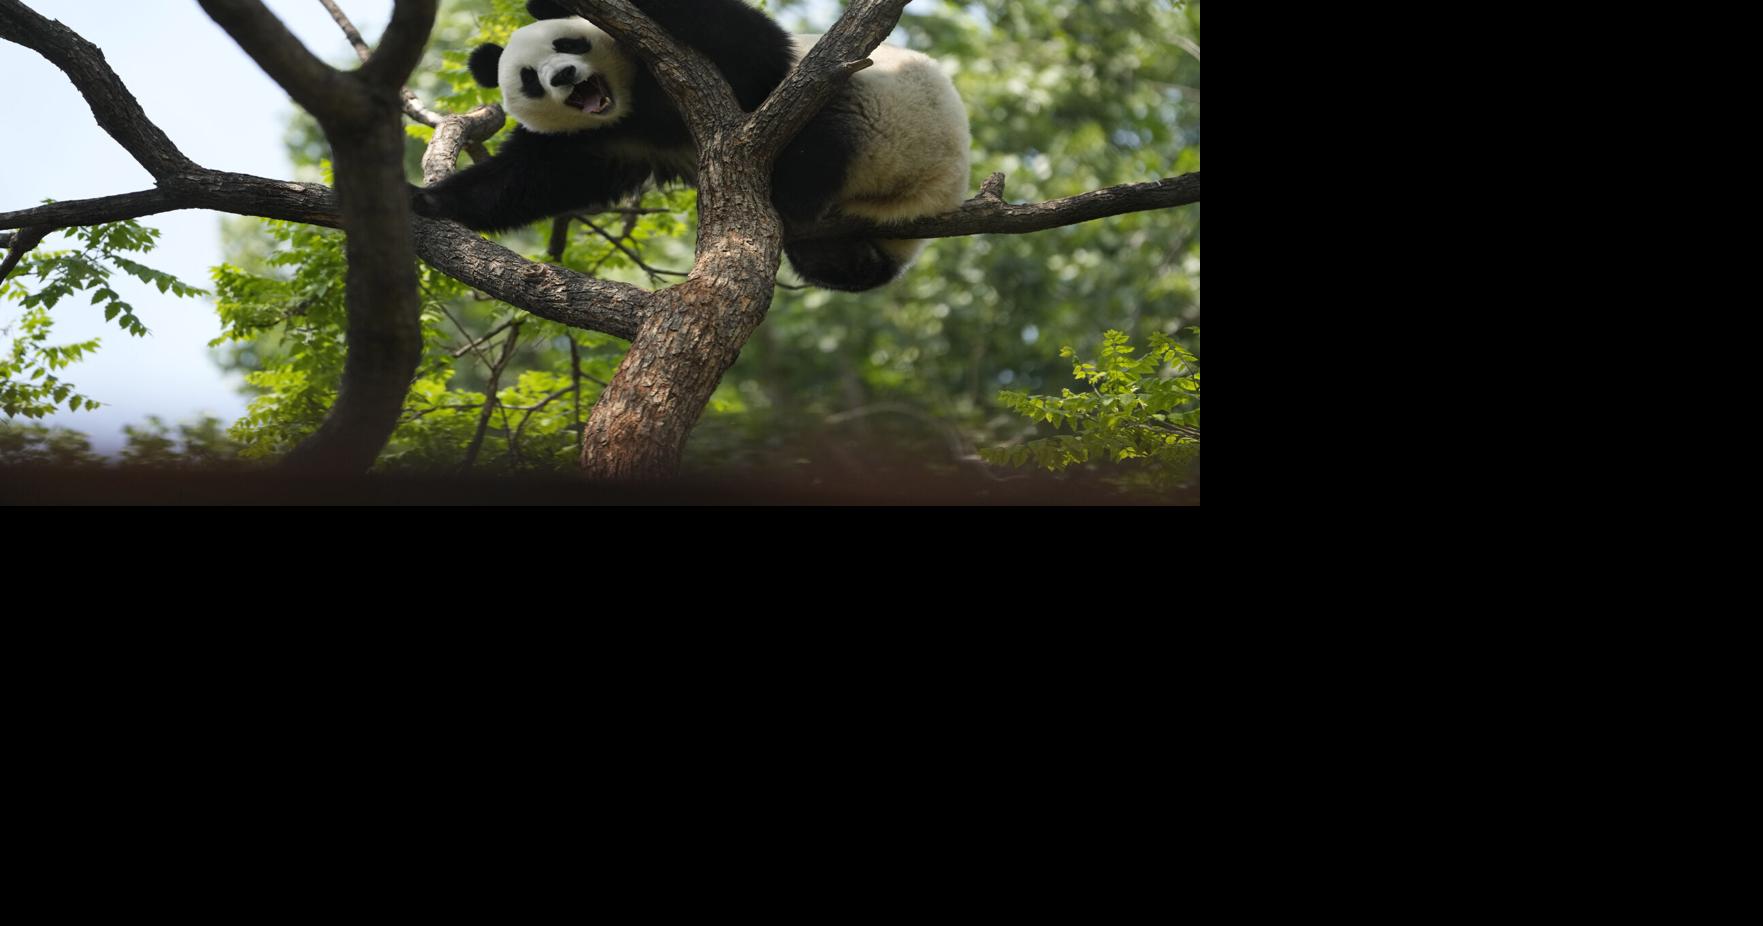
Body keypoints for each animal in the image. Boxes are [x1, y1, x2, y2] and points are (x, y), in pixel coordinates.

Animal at [412, 0, 971, 292]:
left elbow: (753, 47)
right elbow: (525, 181)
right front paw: (422, 199)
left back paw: (784, 194)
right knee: (832, 262)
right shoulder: (598, 139)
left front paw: (549, 2)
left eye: (568, 44)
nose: (565, 77)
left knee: (821, 131)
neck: (633, 99)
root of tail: (928, 196)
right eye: (529, 79)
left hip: (890, 117)